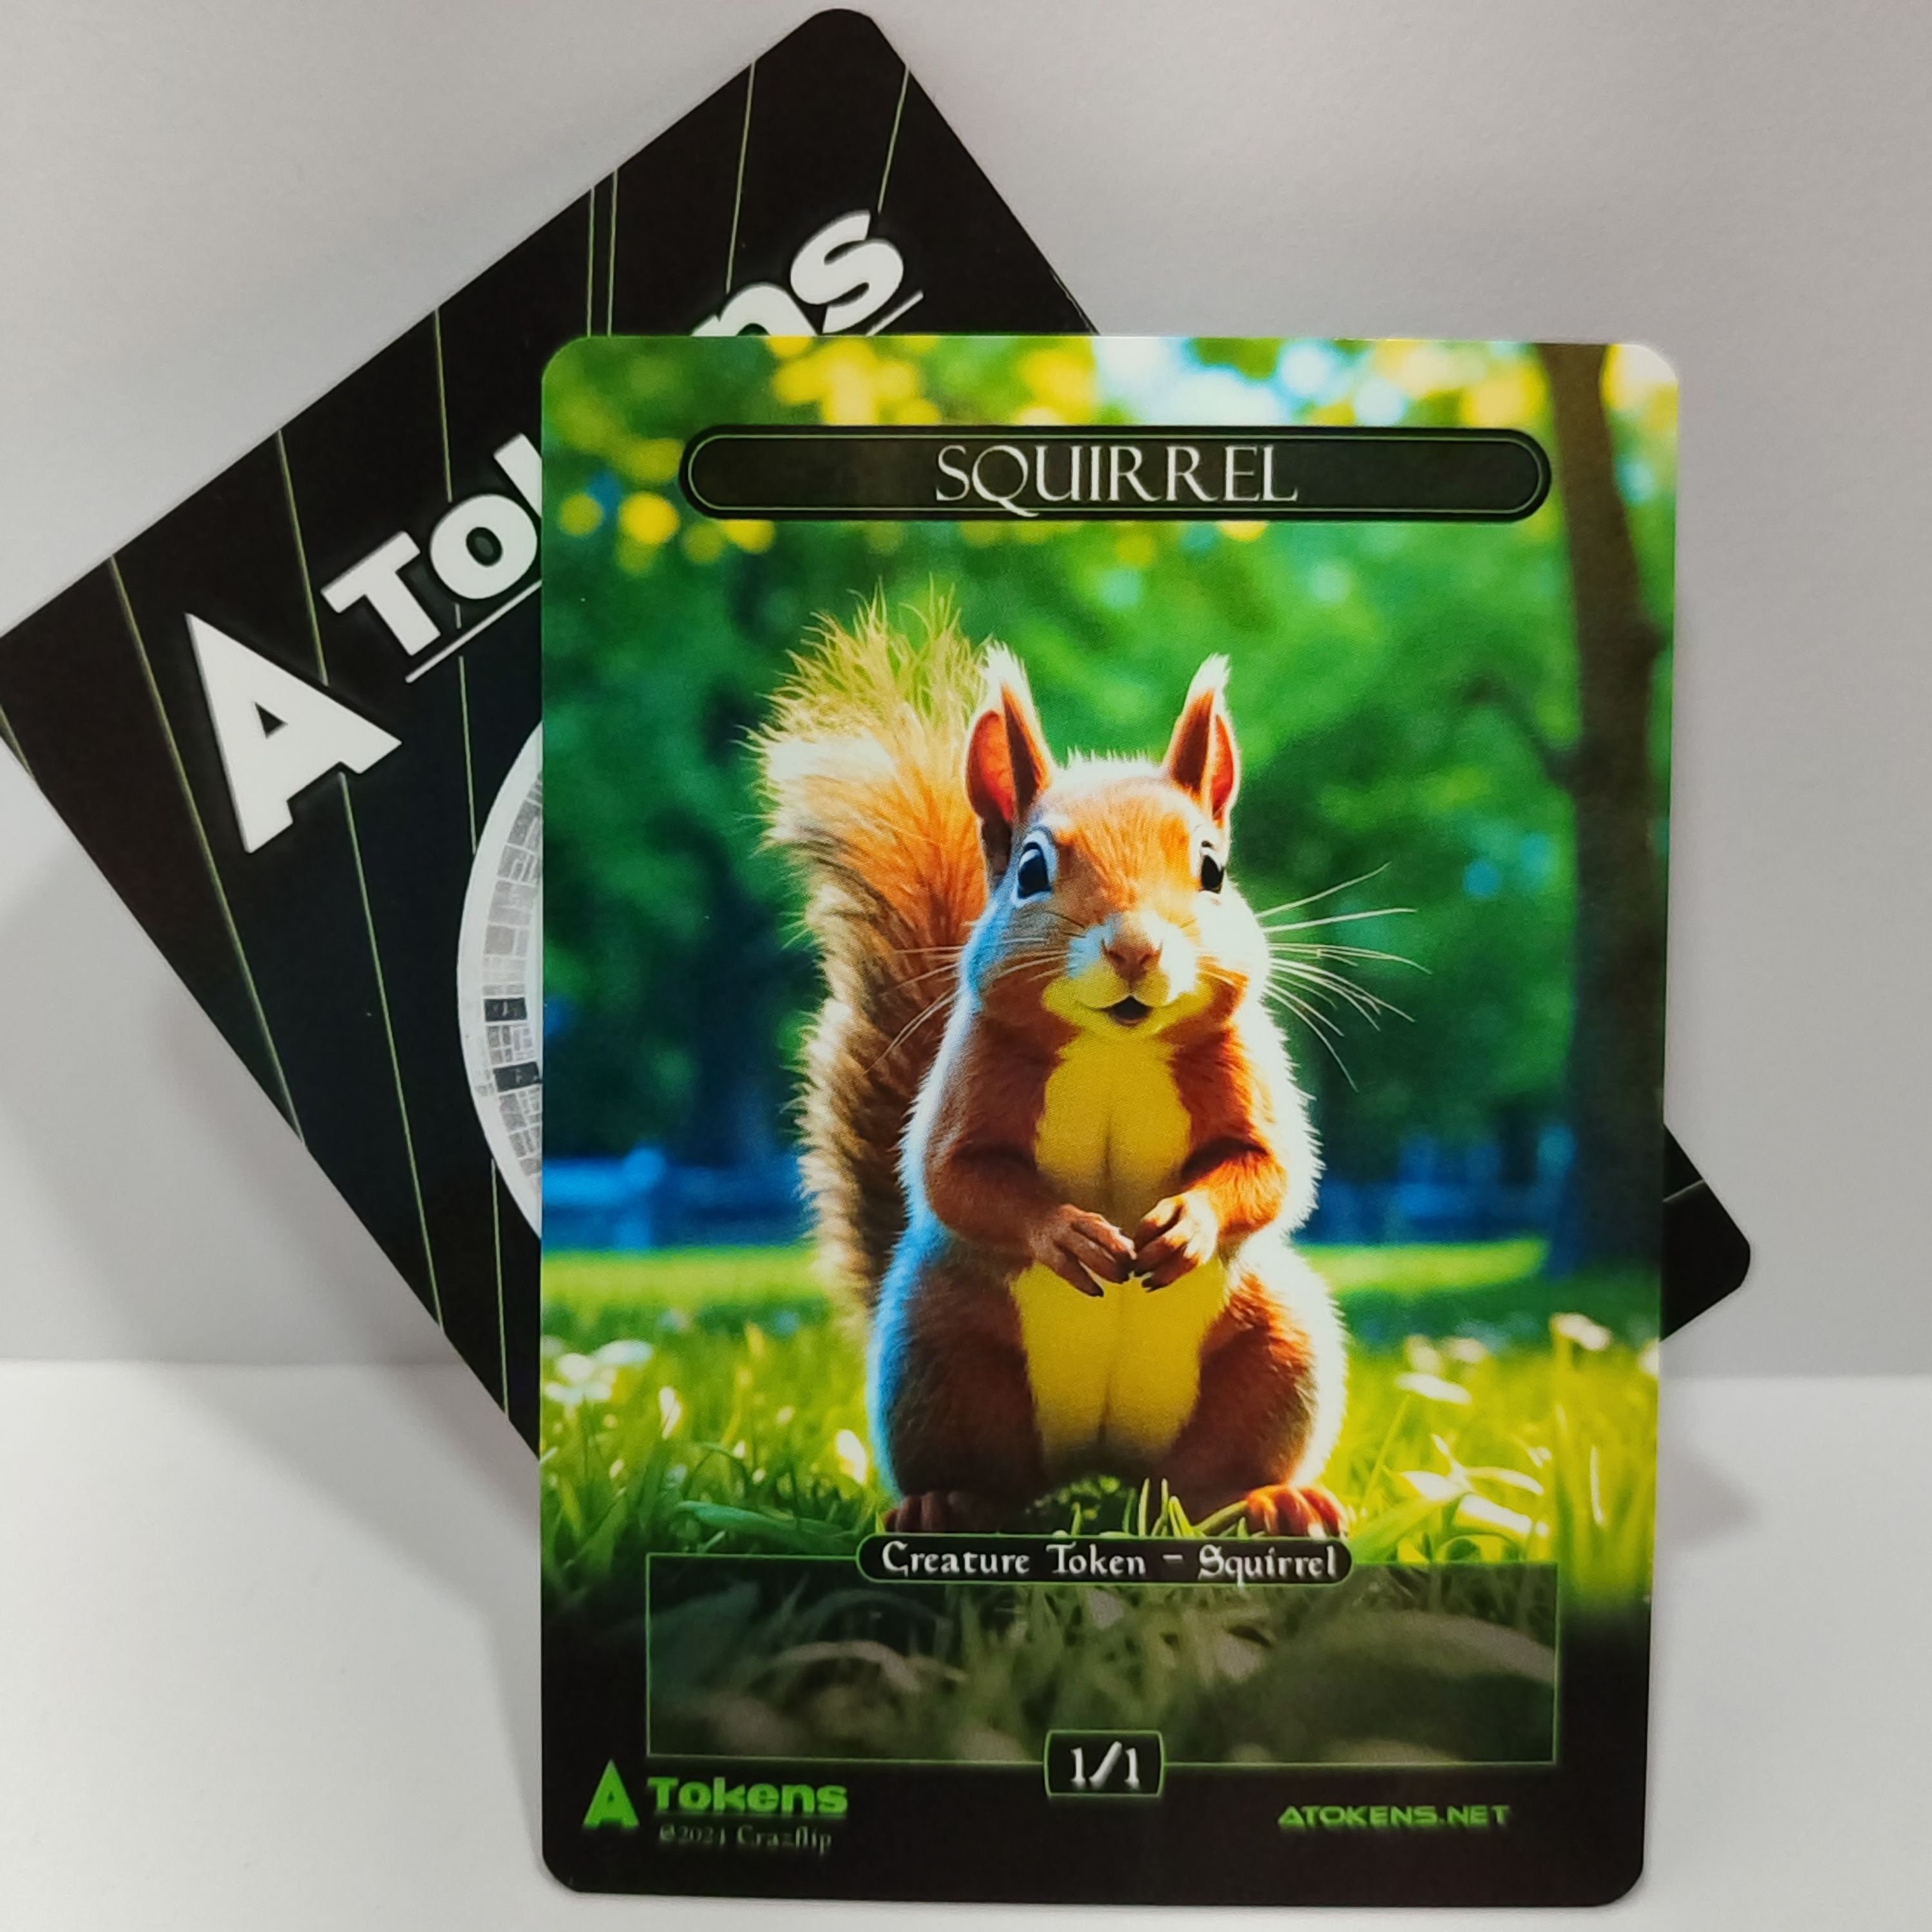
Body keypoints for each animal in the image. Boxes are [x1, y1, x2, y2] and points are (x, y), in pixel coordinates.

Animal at [760, 601, 1347, 1538]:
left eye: (1213, 869)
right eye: (1032, 869)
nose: (1136, 948)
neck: (1118, 1048)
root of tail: (1100, 1463)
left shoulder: (1246, 1070)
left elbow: (1270, 1167)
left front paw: (1187, 1224)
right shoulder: (976, 1075)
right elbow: (959, 1178)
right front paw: (1066, 1232)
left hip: (1274, 1347)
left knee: (1207, 1483)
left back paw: (1271, 1500)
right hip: (940, 1358)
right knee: (992, 1477)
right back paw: (945, 1503)